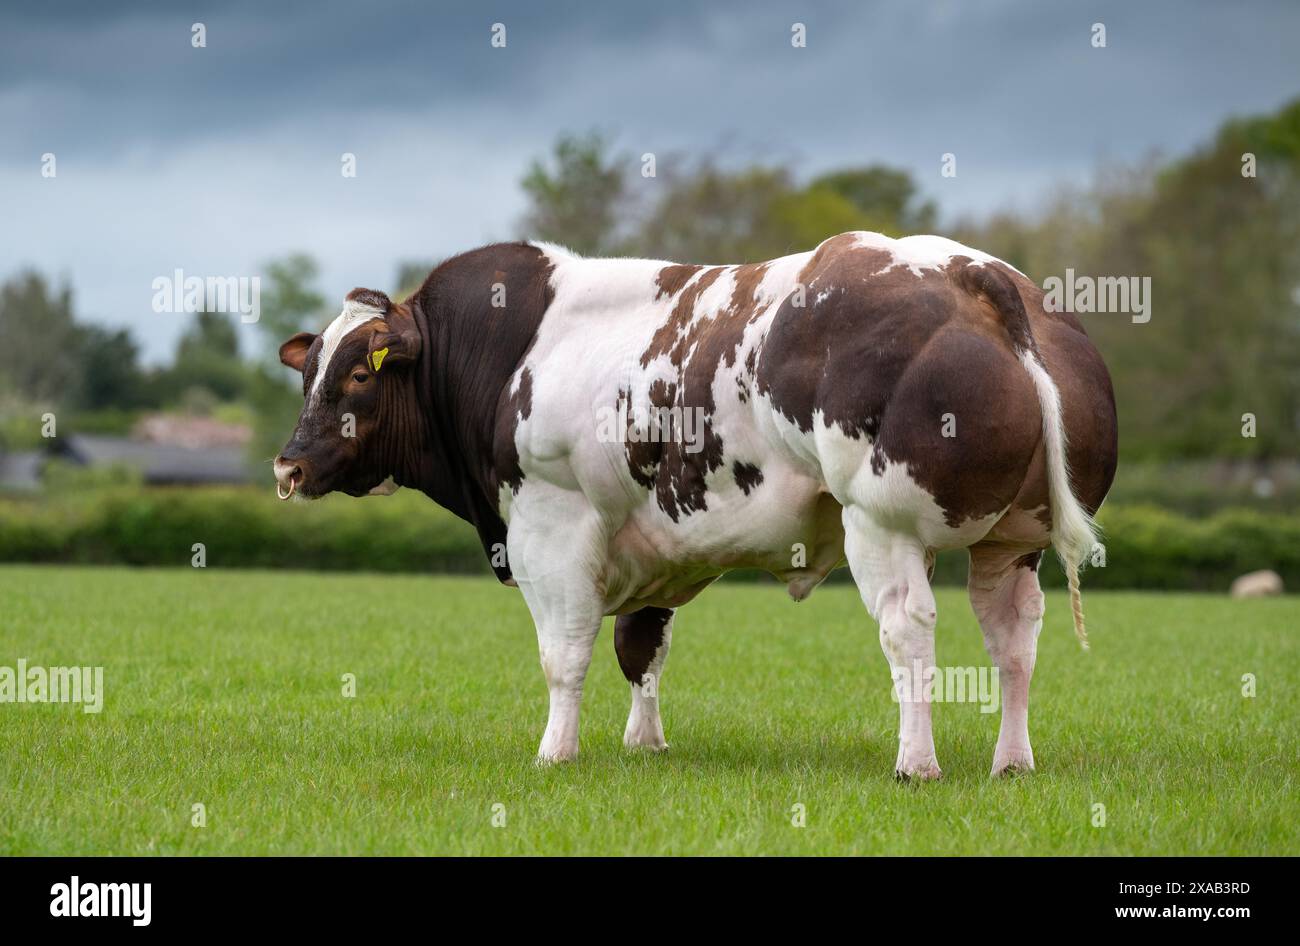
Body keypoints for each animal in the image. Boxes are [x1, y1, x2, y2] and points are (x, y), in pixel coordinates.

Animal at [273, 231, 1117, 779]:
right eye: (308, 372)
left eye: (358, 375)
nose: (288, 464)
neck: (504, 351)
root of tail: (973, 270)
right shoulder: (651, 540)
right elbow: (640, 648)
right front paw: (644, 745)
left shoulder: (552, 523)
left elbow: (564, 654)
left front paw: (555, 753)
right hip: (1013, 541)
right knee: (1013, 641)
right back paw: (1012, 762)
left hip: (883, 522)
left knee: (908, 631)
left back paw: (917, 763)